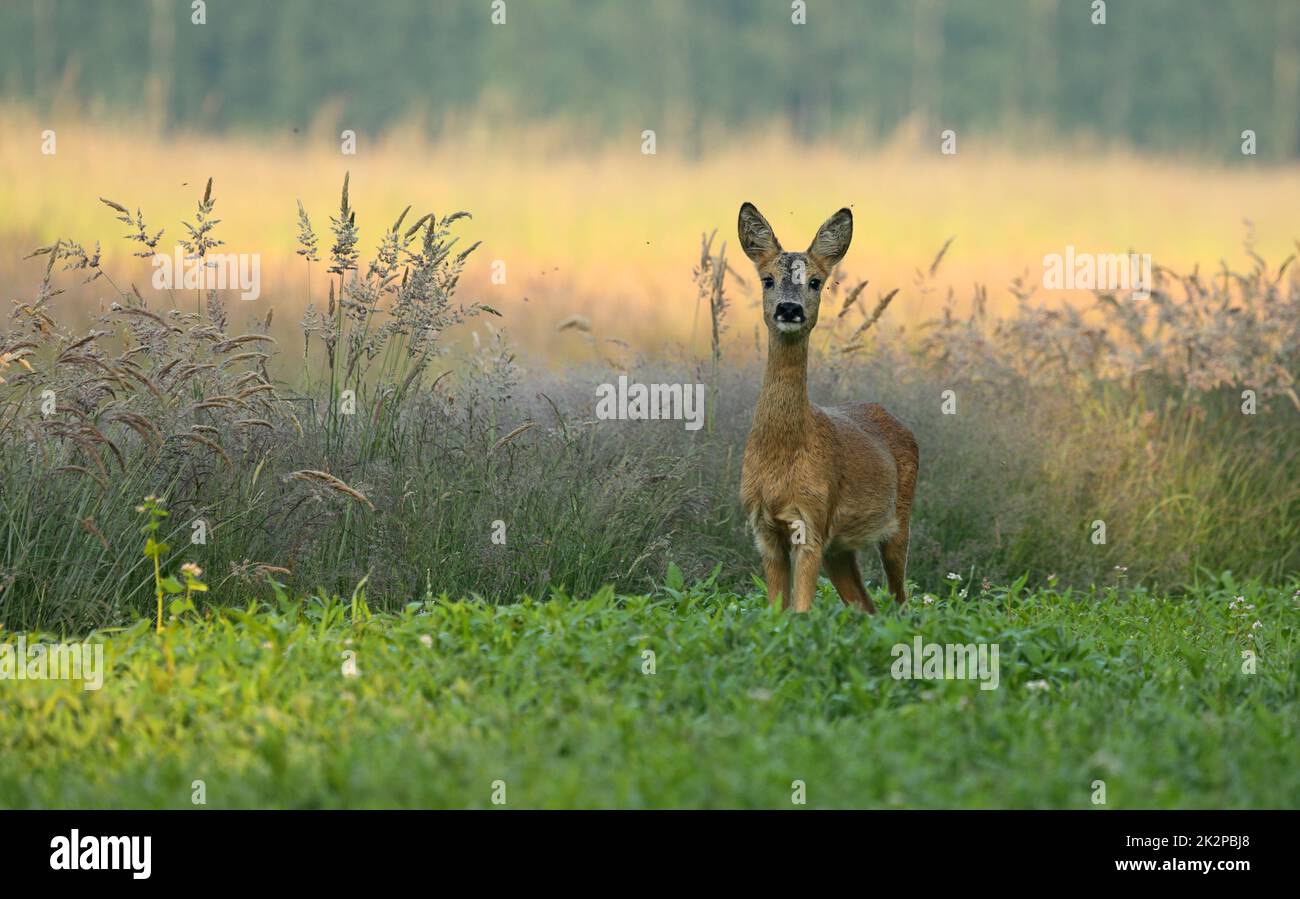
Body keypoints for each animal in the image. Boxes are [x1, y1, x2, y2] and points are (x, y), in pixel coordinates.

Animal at [737, 202, 918, 613]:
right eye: (767, 279)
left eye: (816, 281)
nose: (789, 309)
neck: (783, 456)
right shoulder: (763, 528)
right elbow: (775, 611)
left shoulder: (812, 520)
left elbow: (801, 611)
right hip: (841, 548)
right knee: (866, 604)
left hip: (899, 521)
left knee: (900, 600)